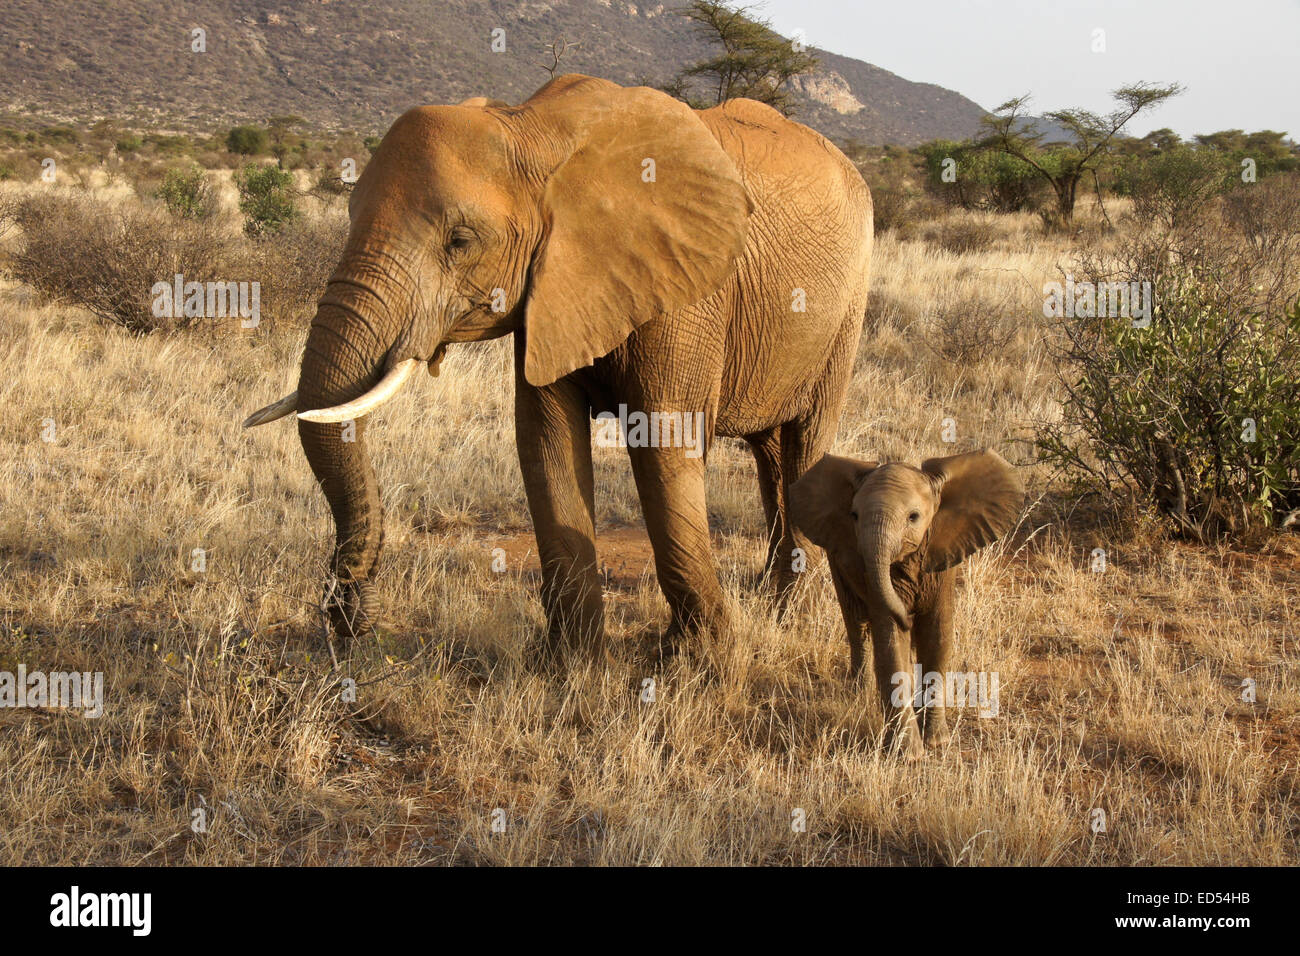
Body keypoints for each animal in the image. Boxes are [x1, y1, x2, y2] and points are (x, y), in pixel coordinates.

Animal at [242, 73, 873, 658]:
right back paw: (770, 602)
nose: (350, 620)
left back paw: (790, 611)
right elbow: (547, 441)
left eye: (459, 241)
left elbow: (664, 444)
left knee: (805, 444)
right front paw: (572, 663)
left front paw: (696, 659)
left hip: (847, 311)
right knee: (772, 455)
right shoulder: (544, 291)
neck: (533, 128)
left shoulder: (687, 291)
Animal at [788, 450, 1023, 756]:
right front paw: (909, 754)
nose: (908, 616)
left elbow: (937, 637)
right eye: (854, 516)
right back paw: (860, 694)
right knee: (857, 625)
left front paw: (937, 742)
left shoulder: (942, 560)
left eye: (914, 517)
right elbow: (890, 643)